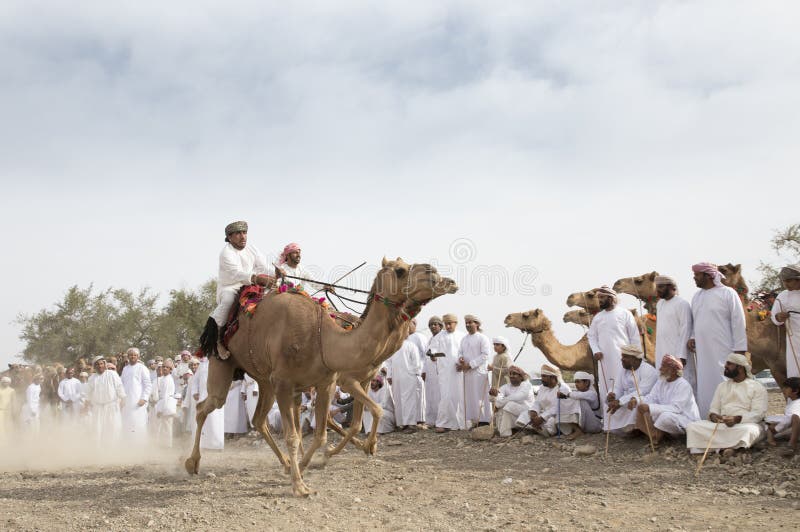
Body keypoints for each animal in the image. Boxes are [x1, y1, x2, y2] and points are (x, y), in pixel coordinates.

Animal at [185, 258, 457, 496]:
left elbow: (332, 428)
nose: (442, 277)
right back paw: (192, 462)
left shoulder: (329, 382)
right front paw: (301, 485)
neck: (323, 338)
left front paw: (325, 458)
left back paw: (286, 463)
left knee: (259, 419)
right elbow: (296, 435)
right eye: (400, 270)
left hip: (265, 380)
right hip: (228, 365)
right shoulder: (300, 382)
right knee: (207, 406)